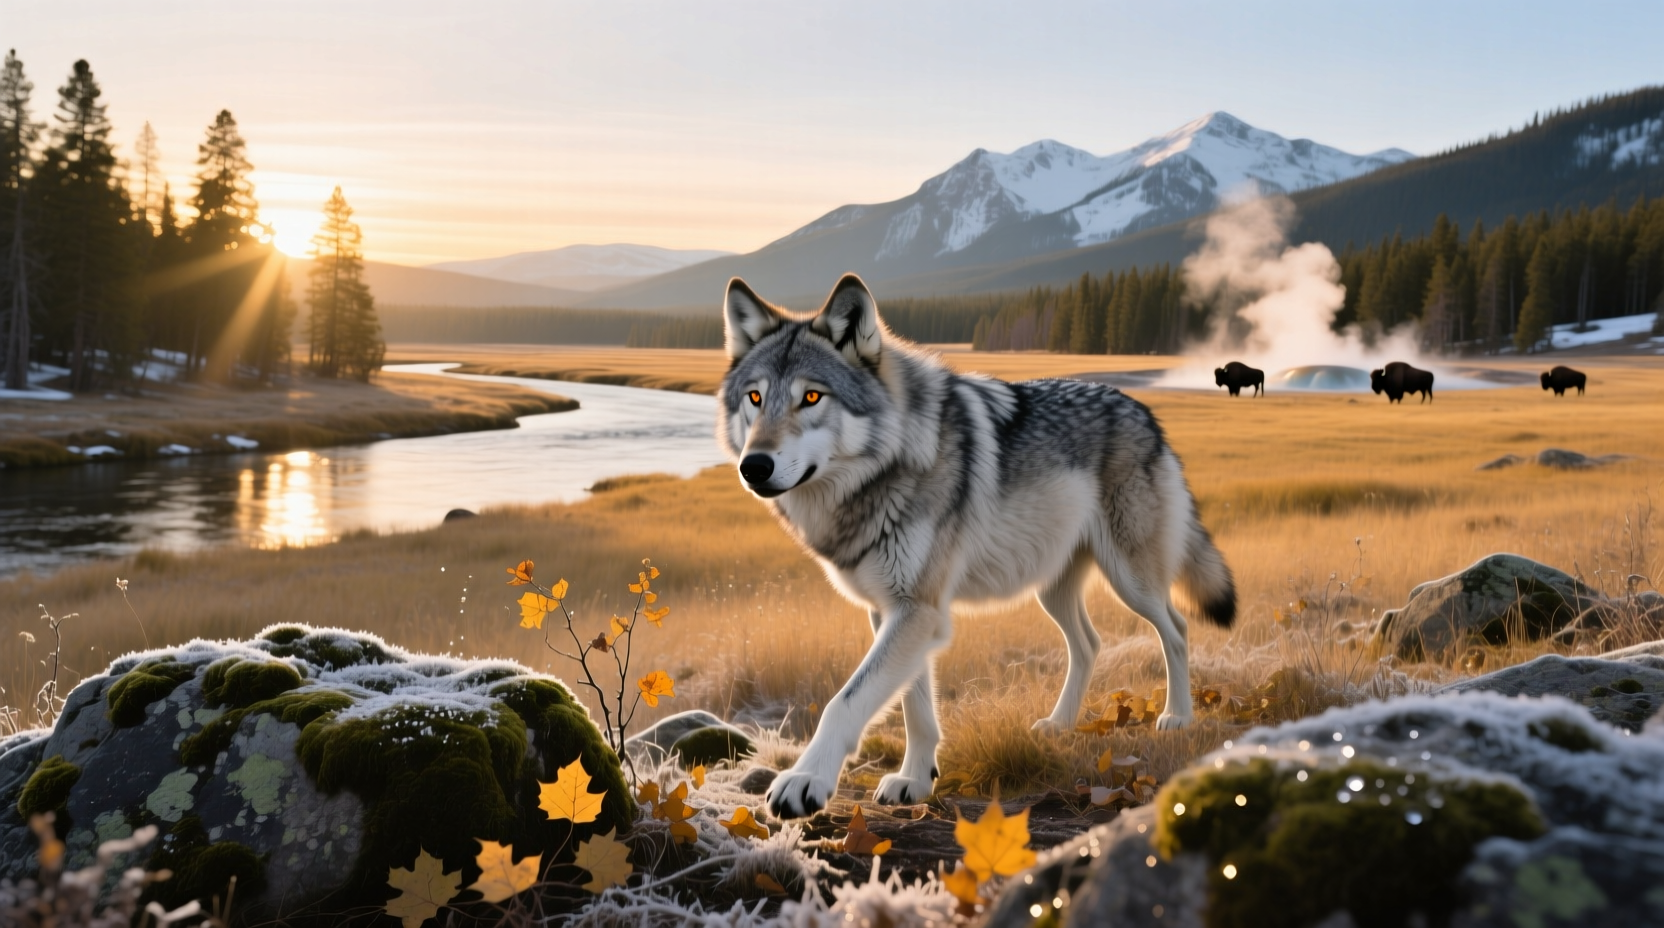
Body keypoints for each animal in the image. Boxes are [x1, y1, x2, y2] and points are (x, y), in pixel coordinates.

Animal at [718, 274, 1236, 819]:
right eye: (755, 398)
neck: (887, 468)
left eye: (812, 397)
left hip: (1131, 580)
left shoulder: (916, 610)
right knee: (1090, 643)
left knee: (1176, 628)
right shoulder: (896, 611)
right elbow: (915, 706)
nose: (754, 466)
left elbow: (846, 702)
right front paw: (914, 781)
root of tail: (1143, 411)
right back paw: (1059, 724)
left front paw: (804, 781)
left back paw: (1177, 717)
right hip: (1052, 589)